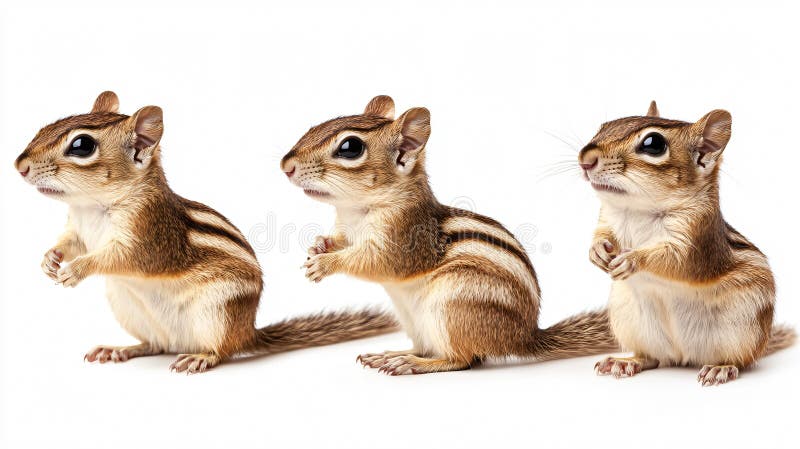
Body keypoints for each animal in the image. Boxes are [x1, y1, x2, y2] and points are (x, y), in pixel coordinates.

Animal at [13, 91, 399, 374]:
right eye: (49, 125)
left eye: (81, 146)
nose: (19, 165)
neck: (91, 207)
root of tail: (247, 333)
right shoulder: (78, 230)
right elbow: (70, 243)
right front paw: (50, 259)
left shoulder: (151, 236)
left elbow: (120, 257)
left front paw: (75, 270)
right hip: (127, 308)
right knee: (155, 345)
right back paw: (119, 349)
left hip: (216, 314)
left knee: (220, 351)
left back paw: (201, 357)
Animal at [280, 95, 619, 375]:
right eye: (316, 126)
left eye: (350, 148)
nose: (285, 165)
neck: (356, 211)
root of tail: (523, 338)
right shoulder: (346, 230)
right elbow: (340, 242)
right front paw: (319, 246)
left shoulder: (405, 239)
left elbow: (377, 262)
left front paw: (325, 264)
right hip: (414, 320)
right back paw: (393, 354)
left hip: (450, 307)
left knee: (462, 360)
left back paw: (409, 363)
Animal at [579, 101, 796, 386]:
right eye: (603, 127)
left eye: (653, 144)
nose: (585, 160)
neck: (637, 210)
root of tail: (682, 356)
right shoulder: (606, 219)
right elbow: (601, 235)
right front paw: (596, 252)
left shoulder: (698, 242)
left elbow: (677, 261)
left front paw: (633, 259)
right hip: (630, 322)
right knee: (653, 358)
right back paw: (625, 361)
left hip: (742, 331)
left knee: (740, 360)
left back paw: (720, 368)